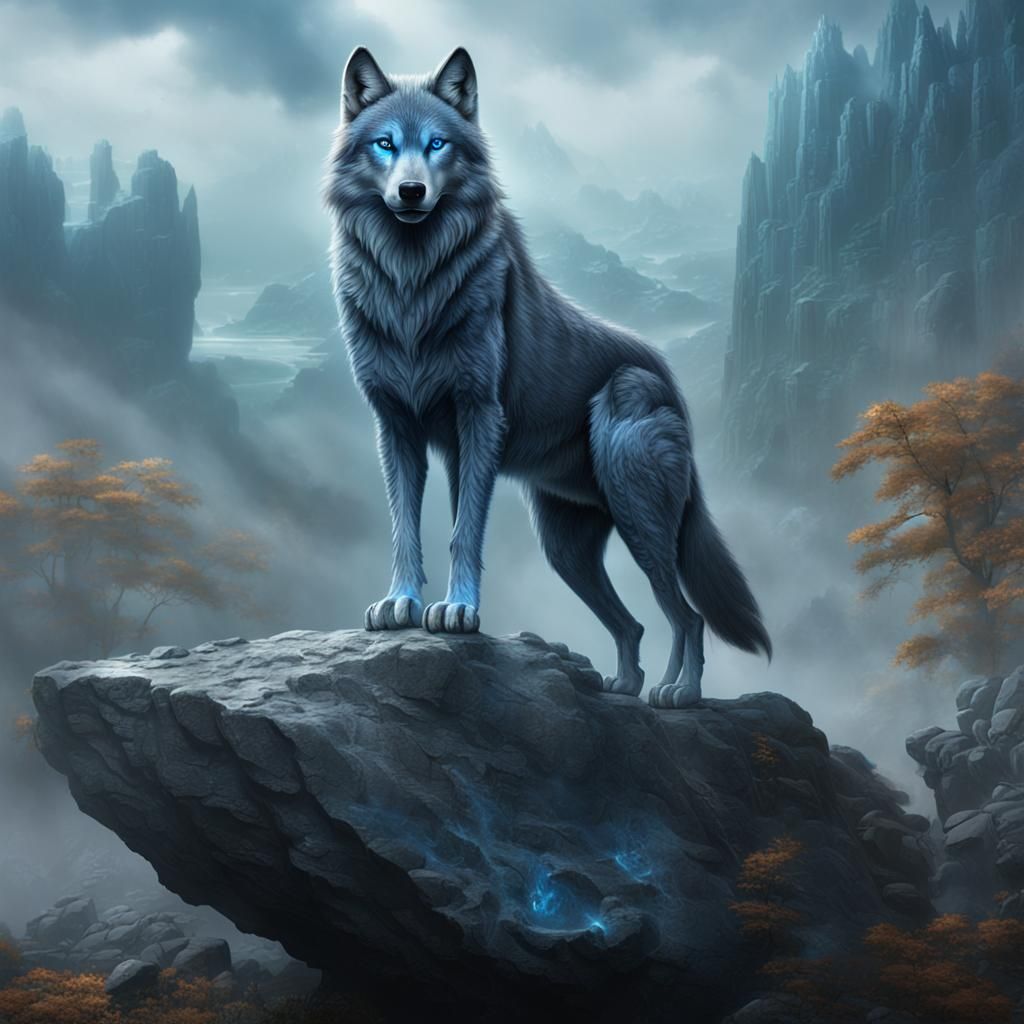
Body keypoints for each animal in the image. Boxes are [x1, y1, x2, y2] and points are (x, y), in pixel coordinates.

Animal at [324, 47, 770, 707]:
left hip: (639, 517)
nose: (411, 190)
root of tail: (669, 382)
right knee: (633, 623)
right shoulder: (397, 427)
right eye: (385, 144)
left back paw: (678, 692)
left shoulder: (477, 417)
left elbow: (463, 532)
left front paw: (458, 611)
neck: (412, 284)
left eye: (436, 144)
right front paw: (401, 603)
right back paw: (624, 686)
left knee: (685, 615)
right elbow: (406, 525)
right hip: (566, 550)